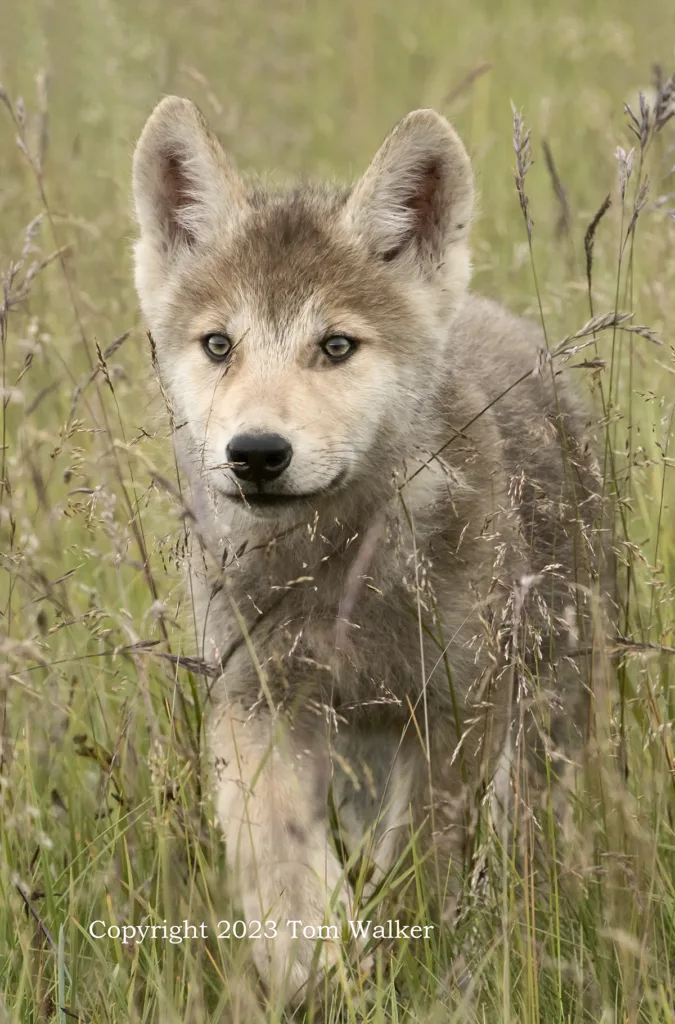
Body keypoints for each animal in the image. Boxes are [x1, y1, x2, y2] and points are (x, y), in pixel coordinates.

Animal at [132, 97, 606, 1003]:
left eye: (336, 346)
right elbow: (275, 853)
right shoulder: (257, 699)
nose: (255, 453)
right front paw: (311, 962)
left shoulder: (454, 711)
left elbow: (419, 858)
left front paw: (402, 957)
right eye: (218, 346)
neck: (340, 566)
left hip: (543, 719)